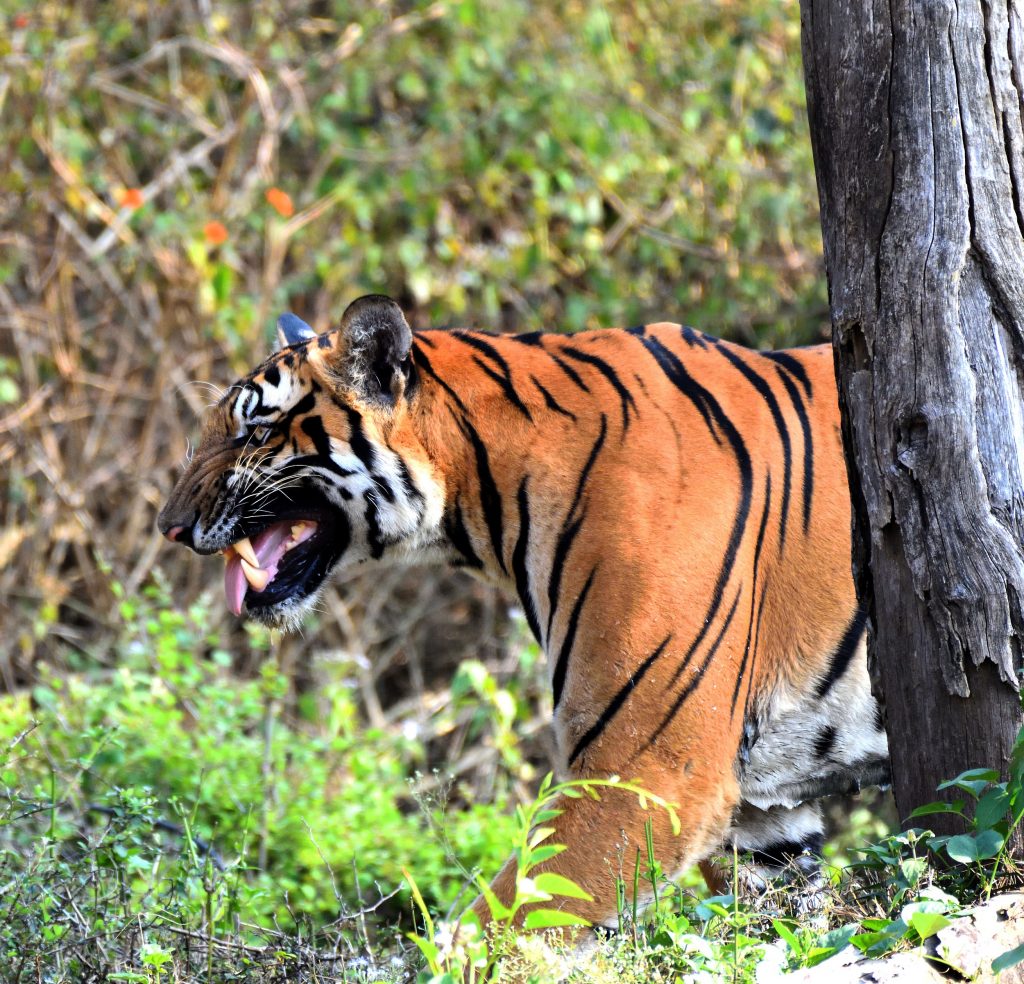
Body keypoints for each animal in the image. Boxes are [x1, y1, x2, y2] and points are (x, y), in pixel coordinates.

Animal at [157, 294, 890, 930]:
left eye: (255, 430)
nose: (169, 526)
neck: (486, 498)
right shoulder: (761, 814)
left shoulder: (648, 768)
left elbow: (507, 920)